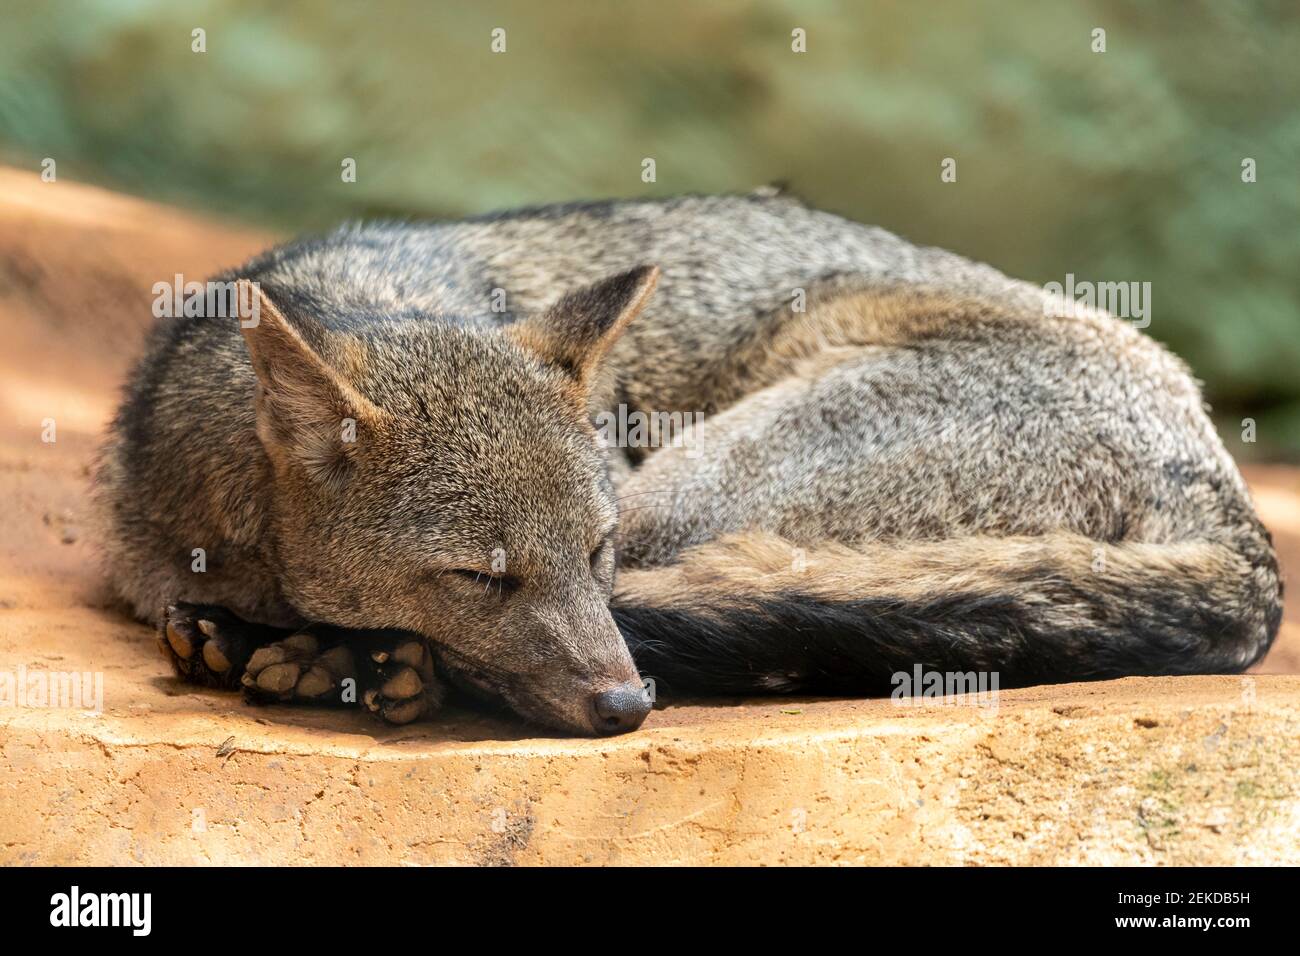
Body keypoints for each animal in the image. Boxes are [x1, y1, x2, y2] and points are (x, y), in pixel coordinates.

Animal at [92, 190, 1282, 736]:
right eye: (479, 576)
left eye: (595, 551)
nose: (628, 706)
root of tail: (1221, 476)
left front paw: (345, 651)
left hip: (694, 486)